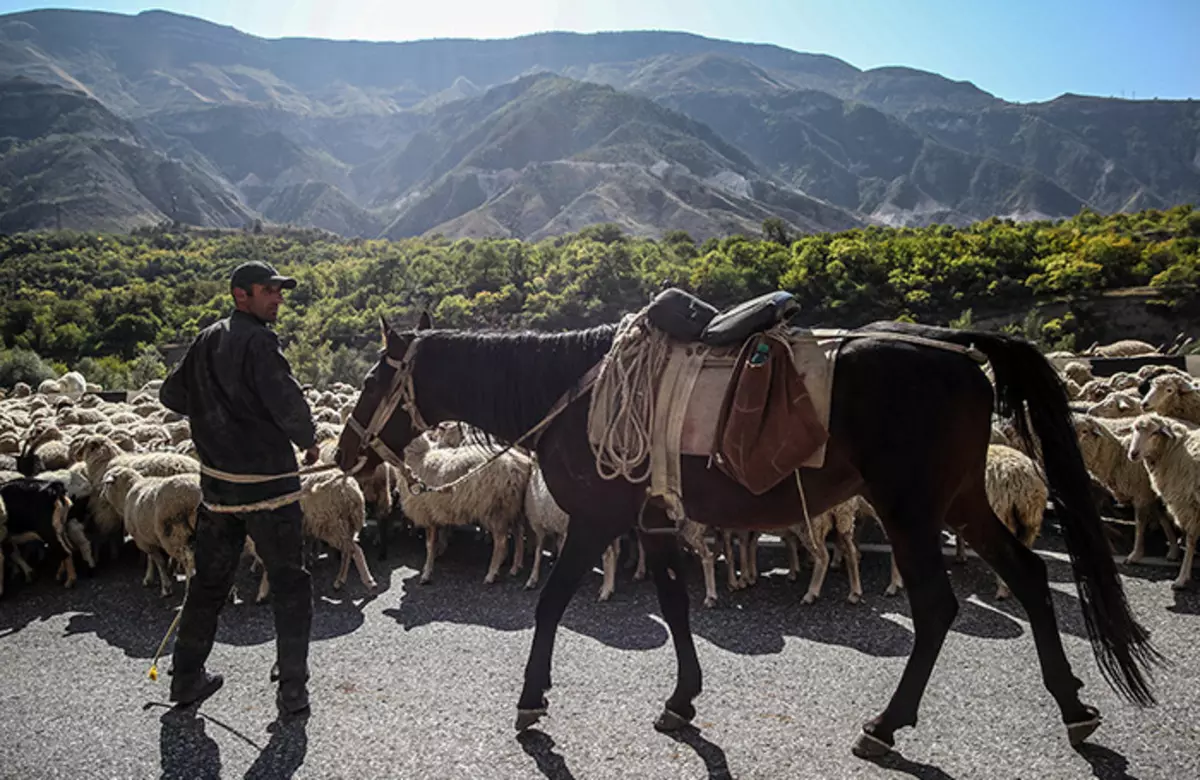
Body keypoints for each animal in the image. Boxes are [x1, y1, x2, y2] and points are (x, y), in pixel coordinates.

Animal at [398, 424, 530, 583]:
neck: (420, 457)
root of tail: (518, 463)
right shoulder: (437, 511)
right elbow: (439, 537)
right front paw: (438, 553)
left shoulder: (426, 512)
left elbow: (429, 545)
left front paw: (426, 573)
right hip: (512, 506)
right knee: (519, 534)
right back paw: (515, 567)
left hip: (496, 508)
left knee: (501, 541)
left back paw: (491, 574)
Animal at [1075, 410, 1176, 561]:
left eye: (1084, 431)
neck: (1118, 458)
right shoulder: (1150, 493)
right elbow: (1163, 519)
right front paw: (1173, 549)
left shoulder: (1141, 494)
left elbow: (1140, 524)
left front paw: (1135, 554)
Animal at [1123, 410, 1200, 585]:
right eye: (1134, 430)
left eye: (1154, 433)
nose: (1133, 454)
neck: (1175, 452)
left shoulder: (1189, 505)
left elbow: (1191, 539)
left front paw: (1182, 578)